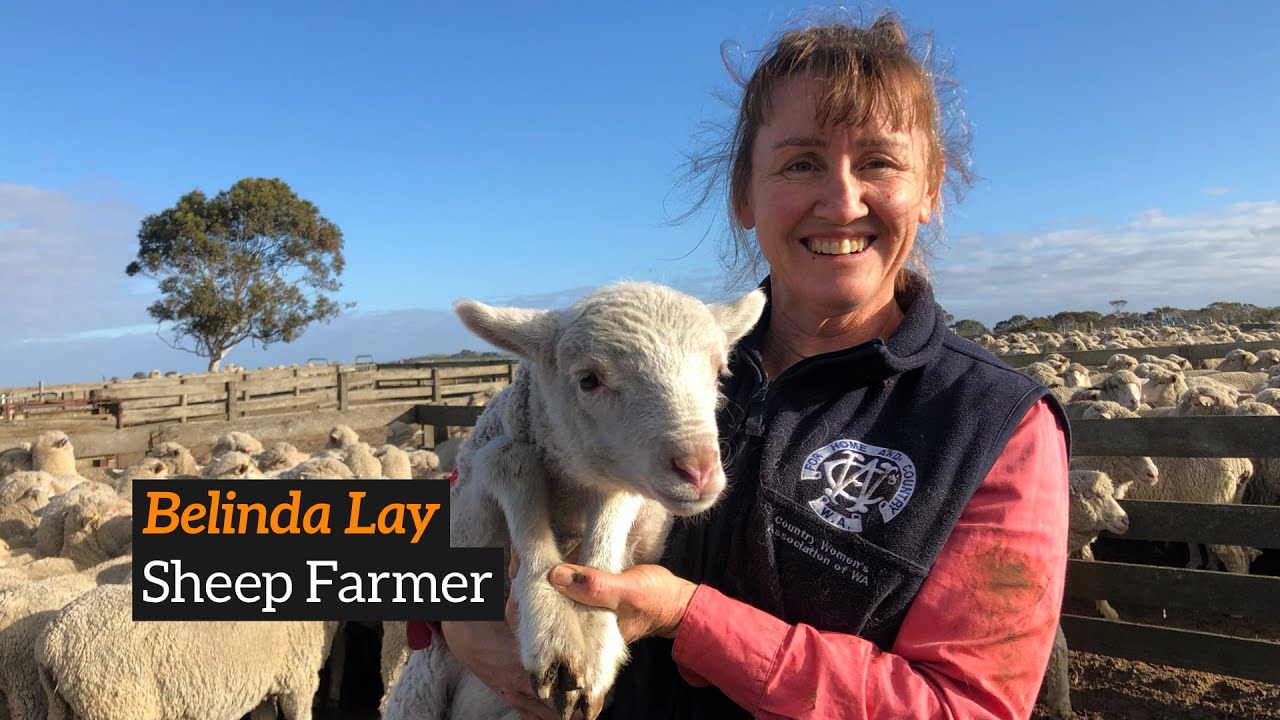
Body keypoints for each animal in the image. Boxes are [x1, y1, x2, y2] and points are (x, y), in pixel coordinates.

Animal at [383, 282, 765, 720]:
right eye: (588, 380)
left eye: (719, 373)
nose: (699, 470)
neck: (571, 502)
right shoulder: (470, 511)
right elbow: (509, 460)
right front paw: (553, 631)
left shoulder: (626, 488)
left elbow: (612, 507)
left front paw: (595, 641)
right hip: (420, 687)